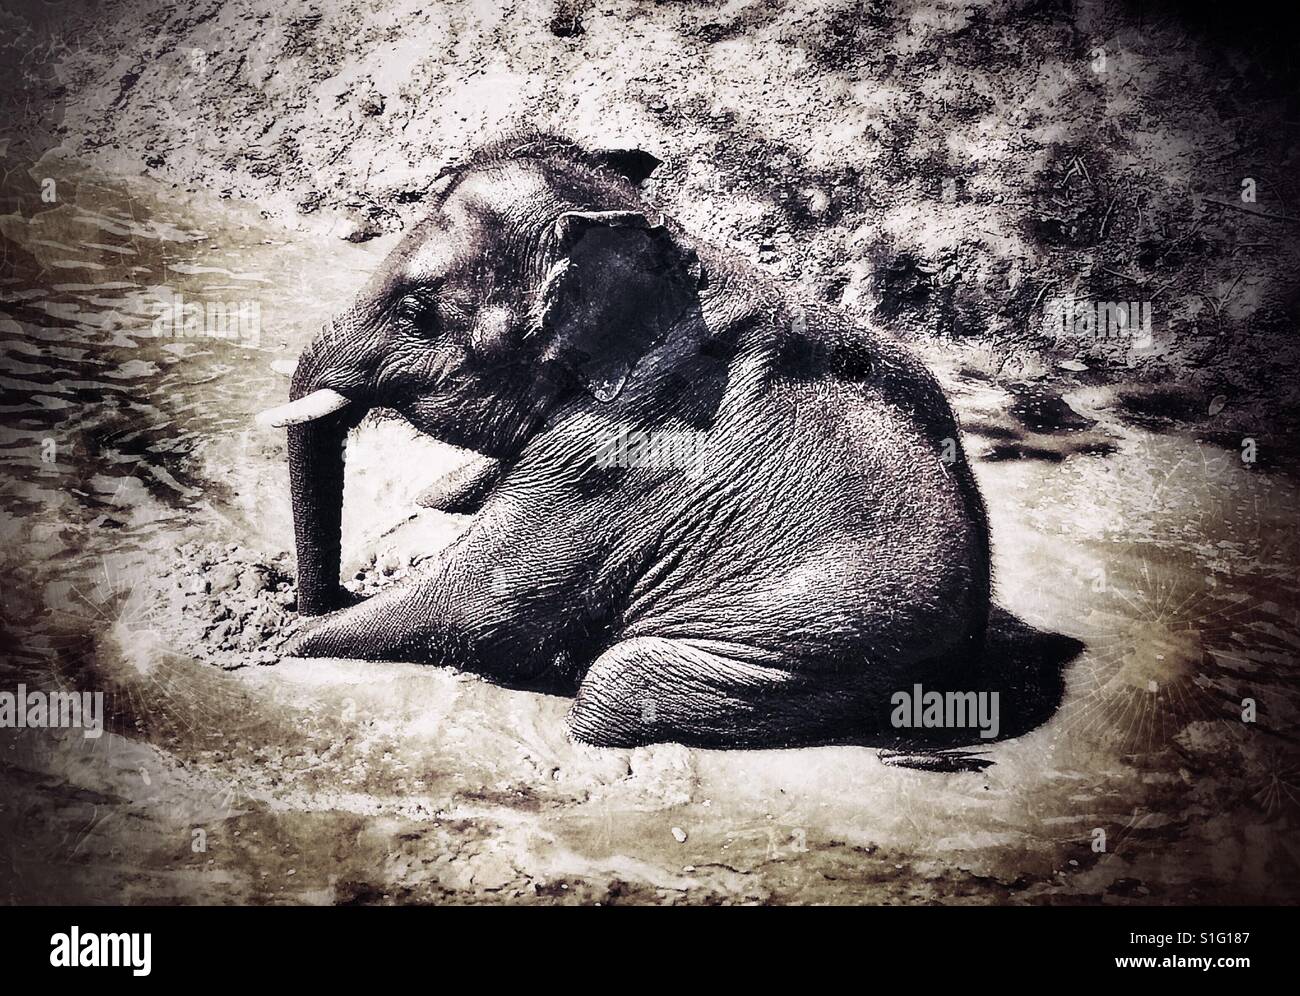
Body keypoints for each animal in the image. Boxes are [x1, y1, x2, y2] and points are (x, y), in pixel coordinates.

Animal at [256, 132, 992, 749]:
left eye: (416, 311)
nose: (318, 594)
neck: (654, 241)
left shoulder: (620, 446)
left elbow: (479, 605)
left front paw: (290, 642)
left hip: (805, 651)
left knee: (612, 689)